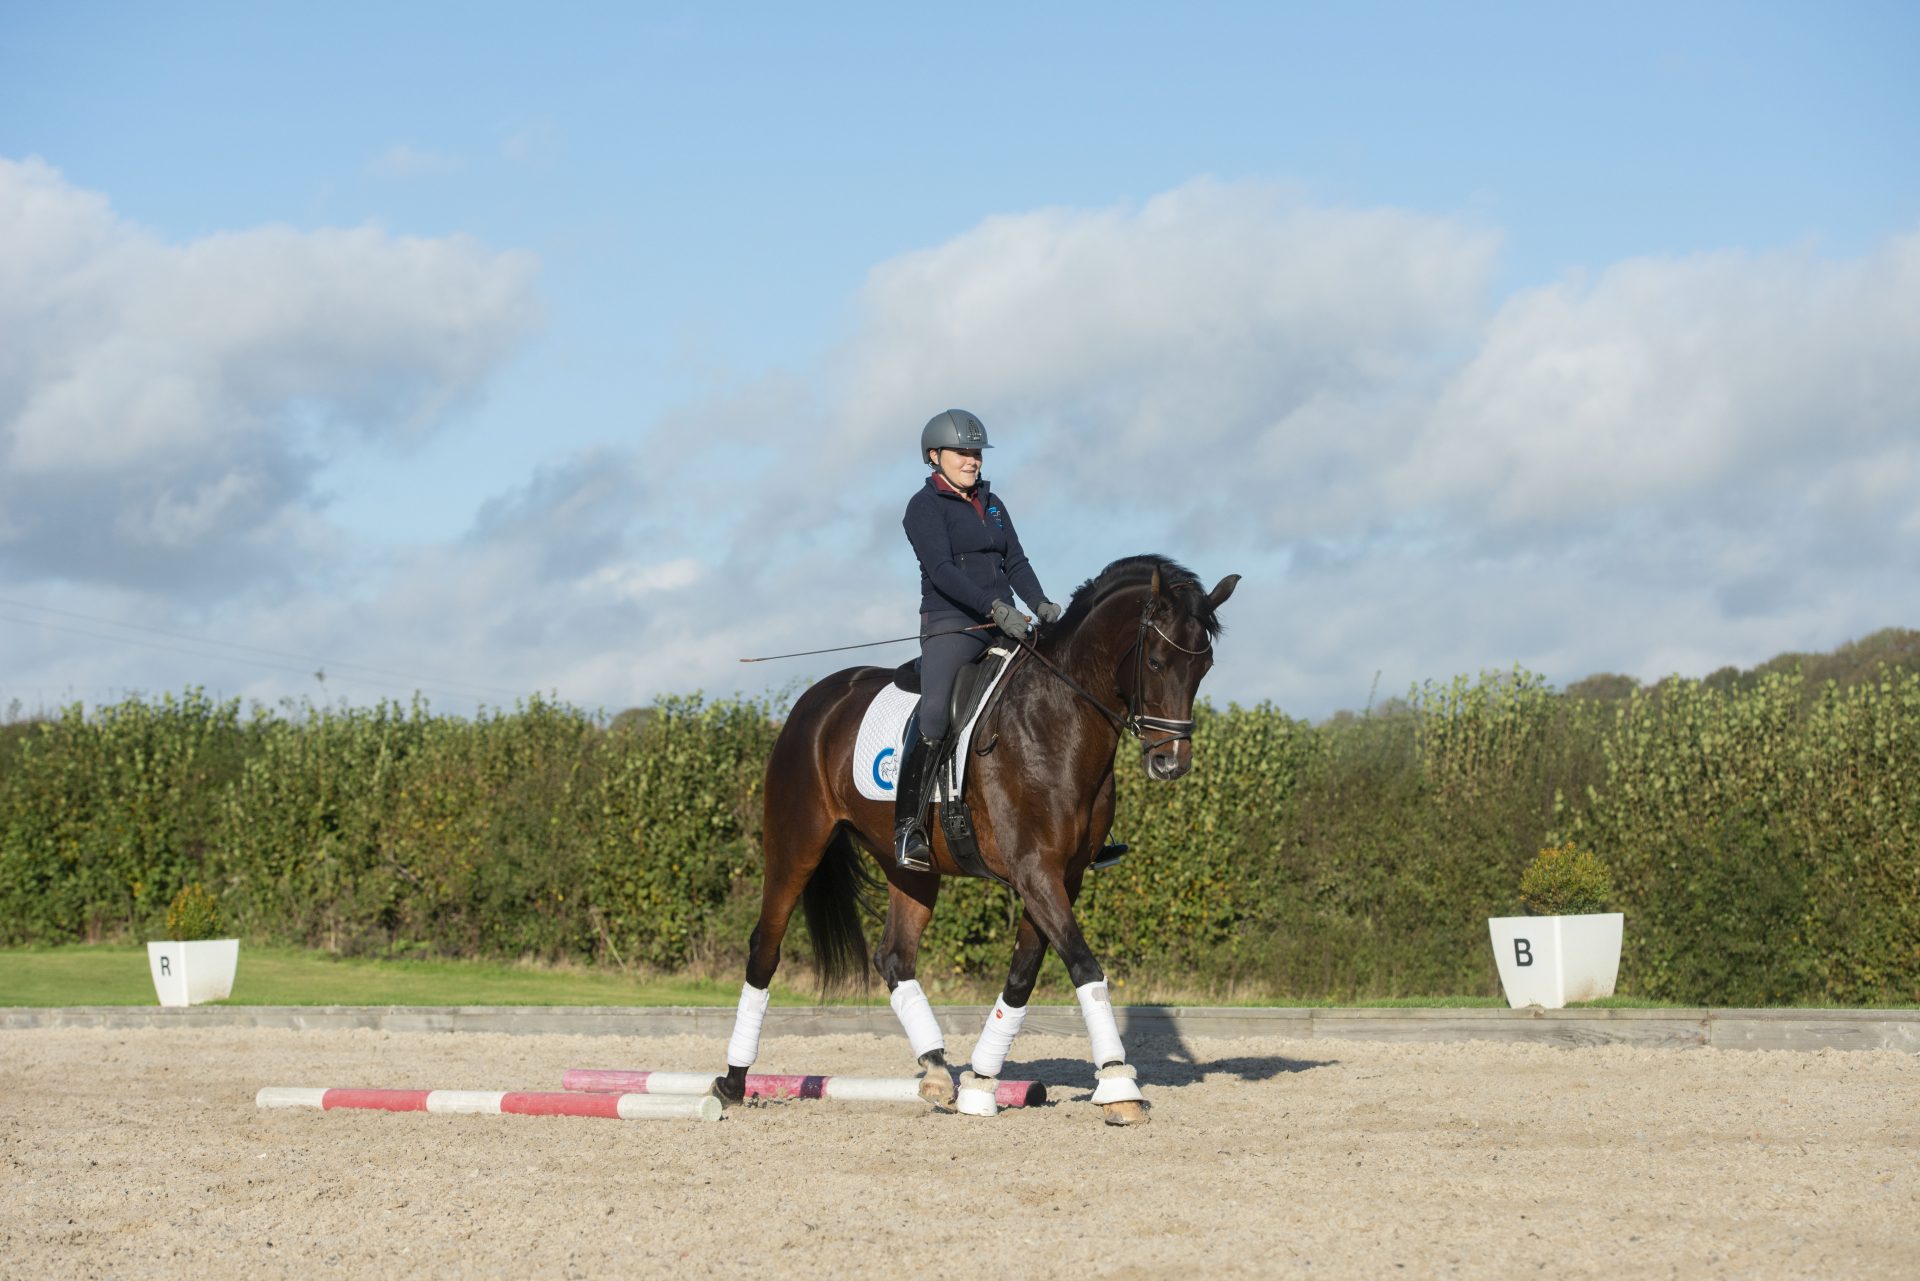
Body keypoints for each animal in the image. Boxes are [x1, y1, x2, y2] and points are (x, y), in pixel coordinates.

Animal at [712, 554, 1239, 1124]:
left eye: (1205, 667)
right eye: (1158, 661)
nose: (1170, 763)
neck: (1058, 717)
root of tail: (814, 702)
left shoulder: (1062, 876)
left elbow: (1023, 976)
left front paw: (982, 1084)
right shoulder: (1034, 870)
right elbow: (1085, 967)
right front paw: (1119, 1085)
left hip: (909, 869)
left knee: (894, 957)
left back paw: (938, 1071)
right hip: (796, 846)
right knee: (765, 948)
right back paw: (732, 1082)